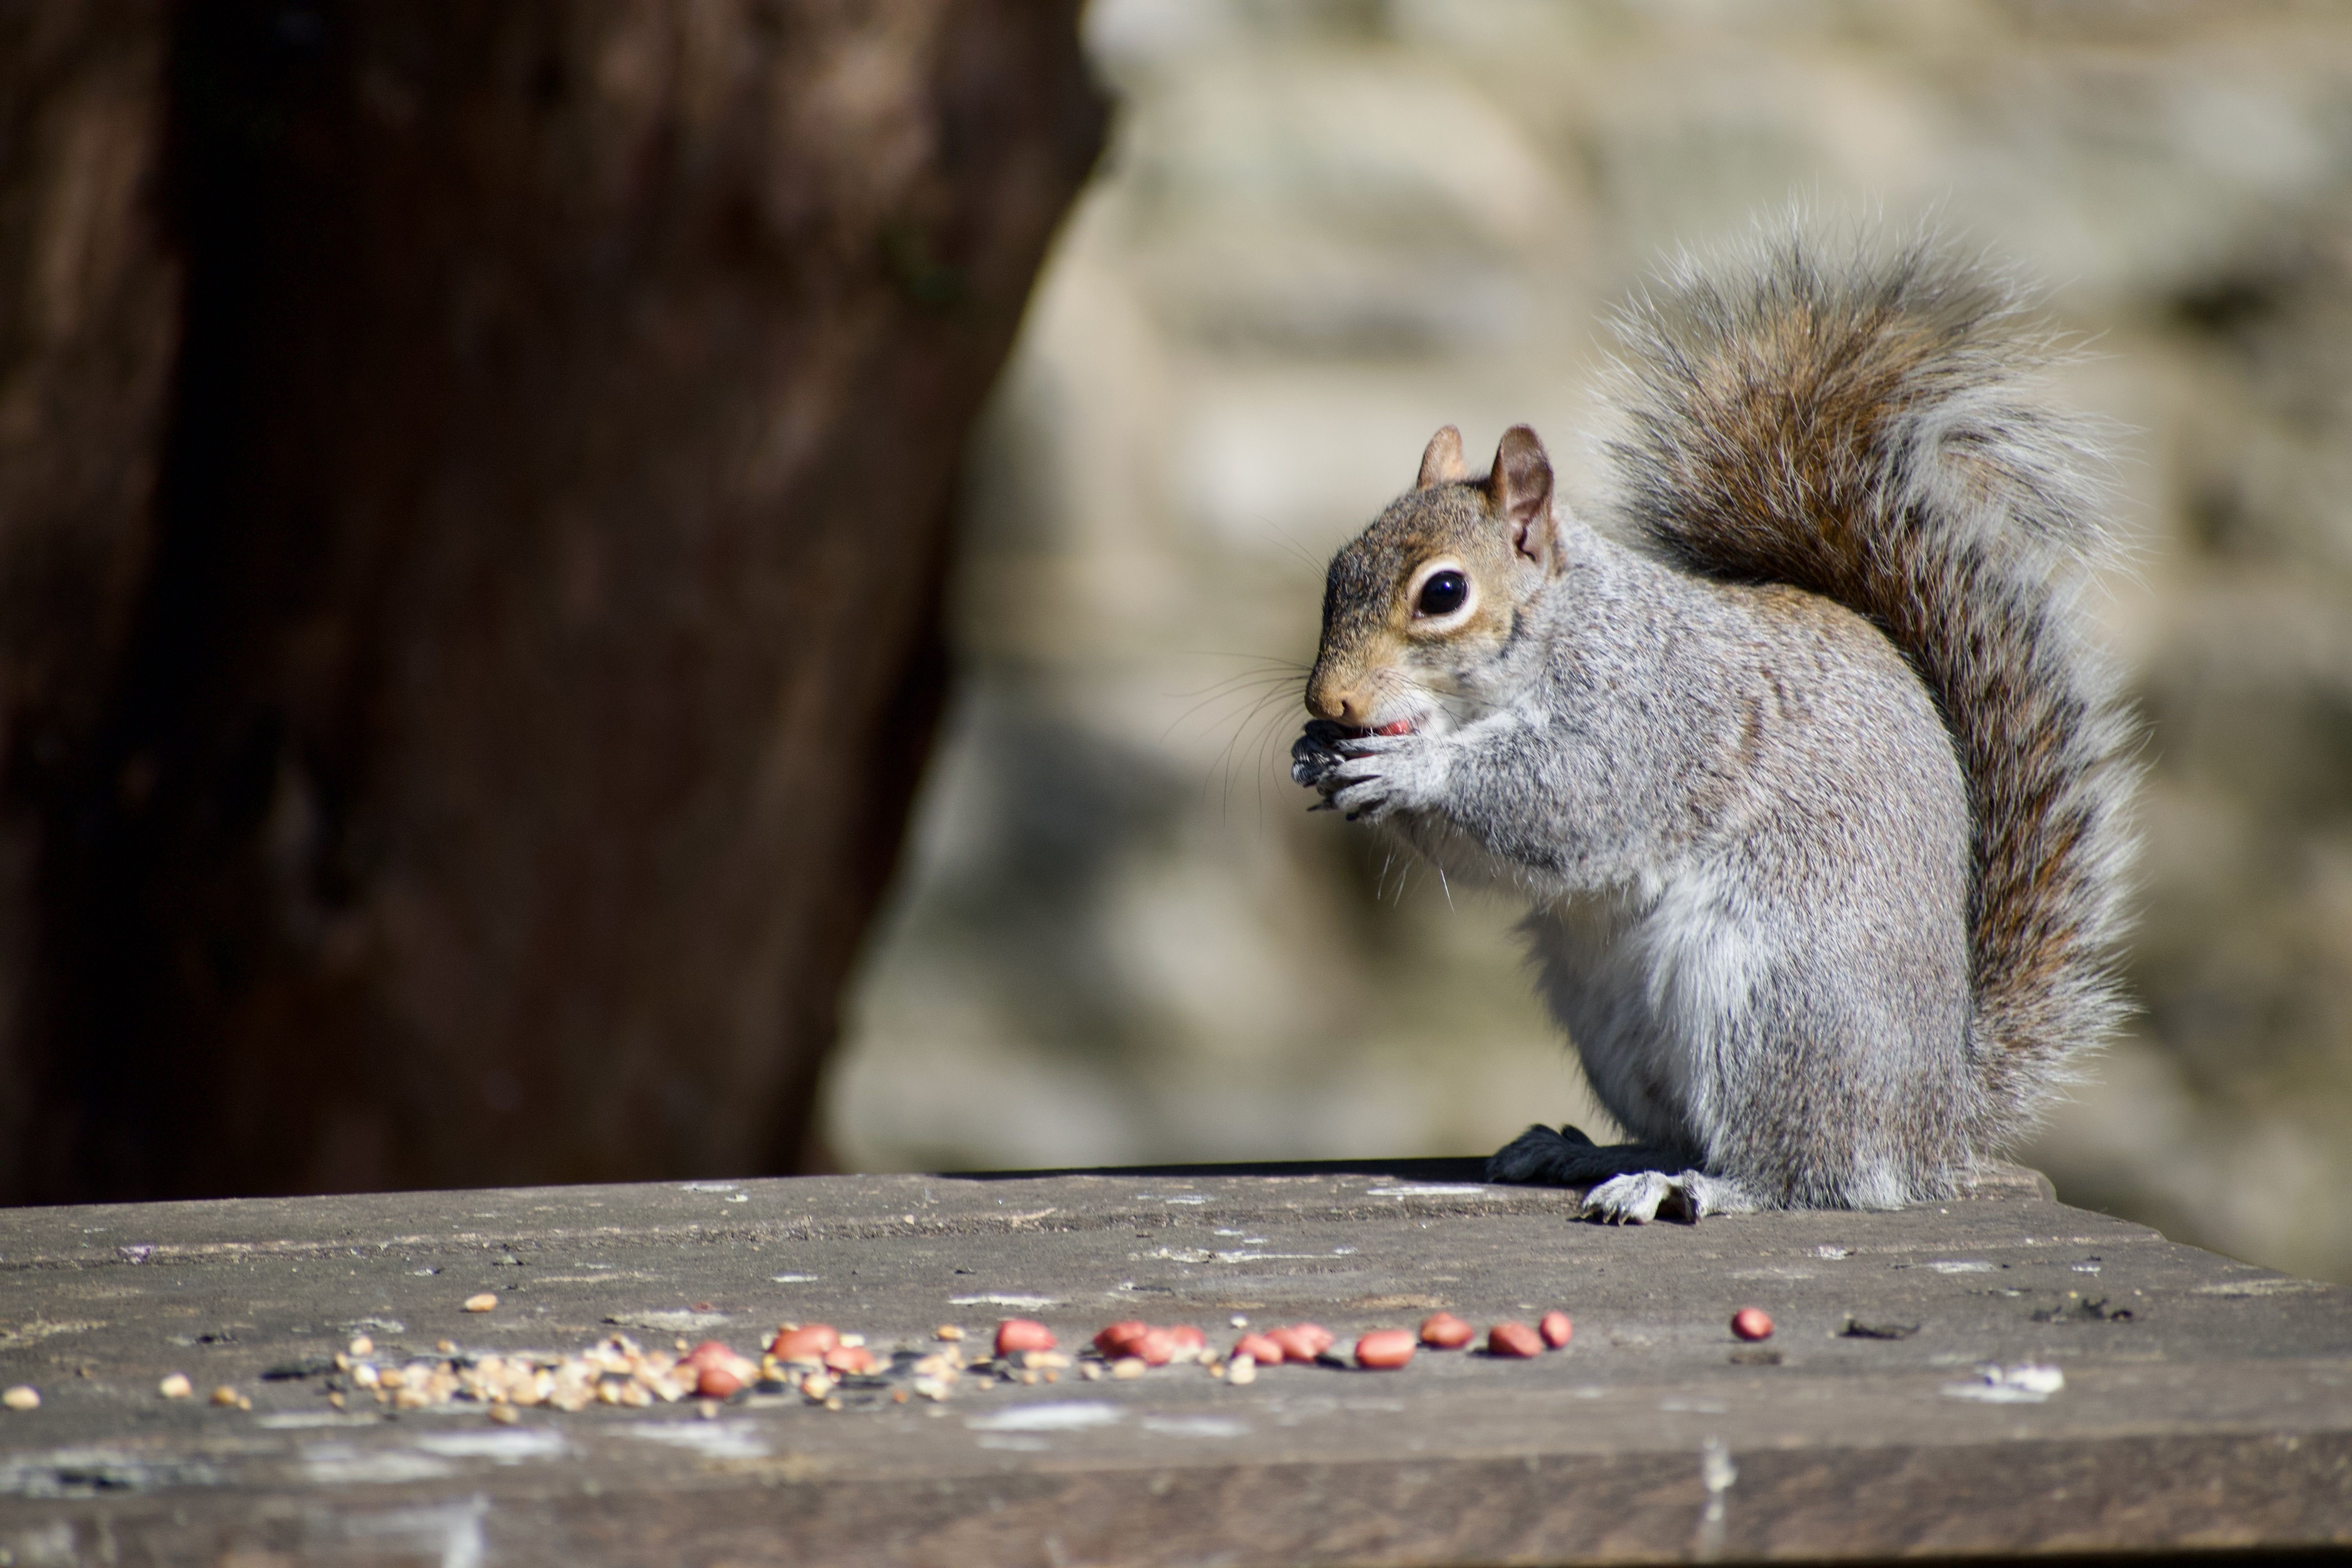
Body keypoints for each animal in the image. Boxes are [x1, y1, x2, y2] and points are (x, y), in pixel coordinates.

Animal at [1290, 228, 2137, 1221]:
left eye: (1444, 593)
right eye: (1336, 571)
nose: (1330, 702)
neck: (1566, 630)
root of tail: (1937, 1117)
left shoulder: (1651, 717)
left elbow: (1559, 806)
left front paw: (1412, 771)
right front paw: (1316, 756)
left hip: (1776, 999)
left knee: (1805, 1169)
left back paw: (1691, 1184)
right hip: (1615, 1018)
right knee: (1690, 1123)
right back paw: (1586, 1150)